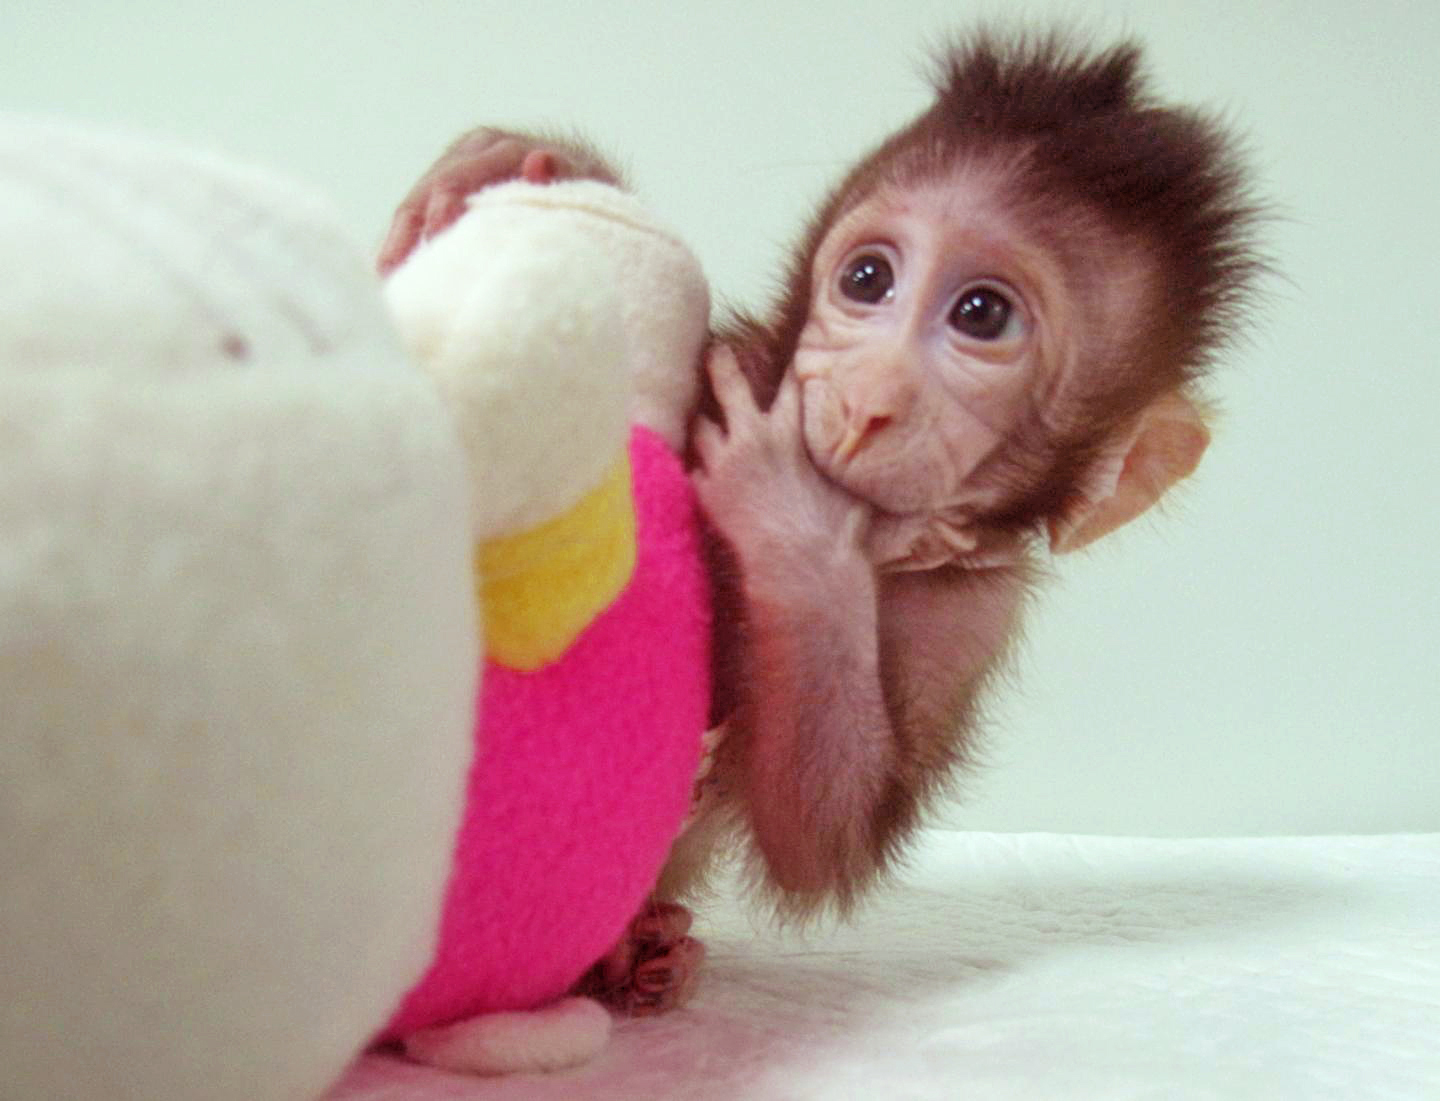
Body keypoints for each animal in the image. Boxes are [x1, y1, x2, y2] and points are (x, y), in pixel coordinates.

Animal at [378, 28, 1263, 1017]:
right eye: (868, 278)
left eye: (983, 314)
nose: (868, 400)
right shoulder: (743, 361)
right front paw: (520, 158)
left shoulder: (975, 608)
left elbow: (820, 844)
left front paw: (794, 526)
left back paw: (640, 960)